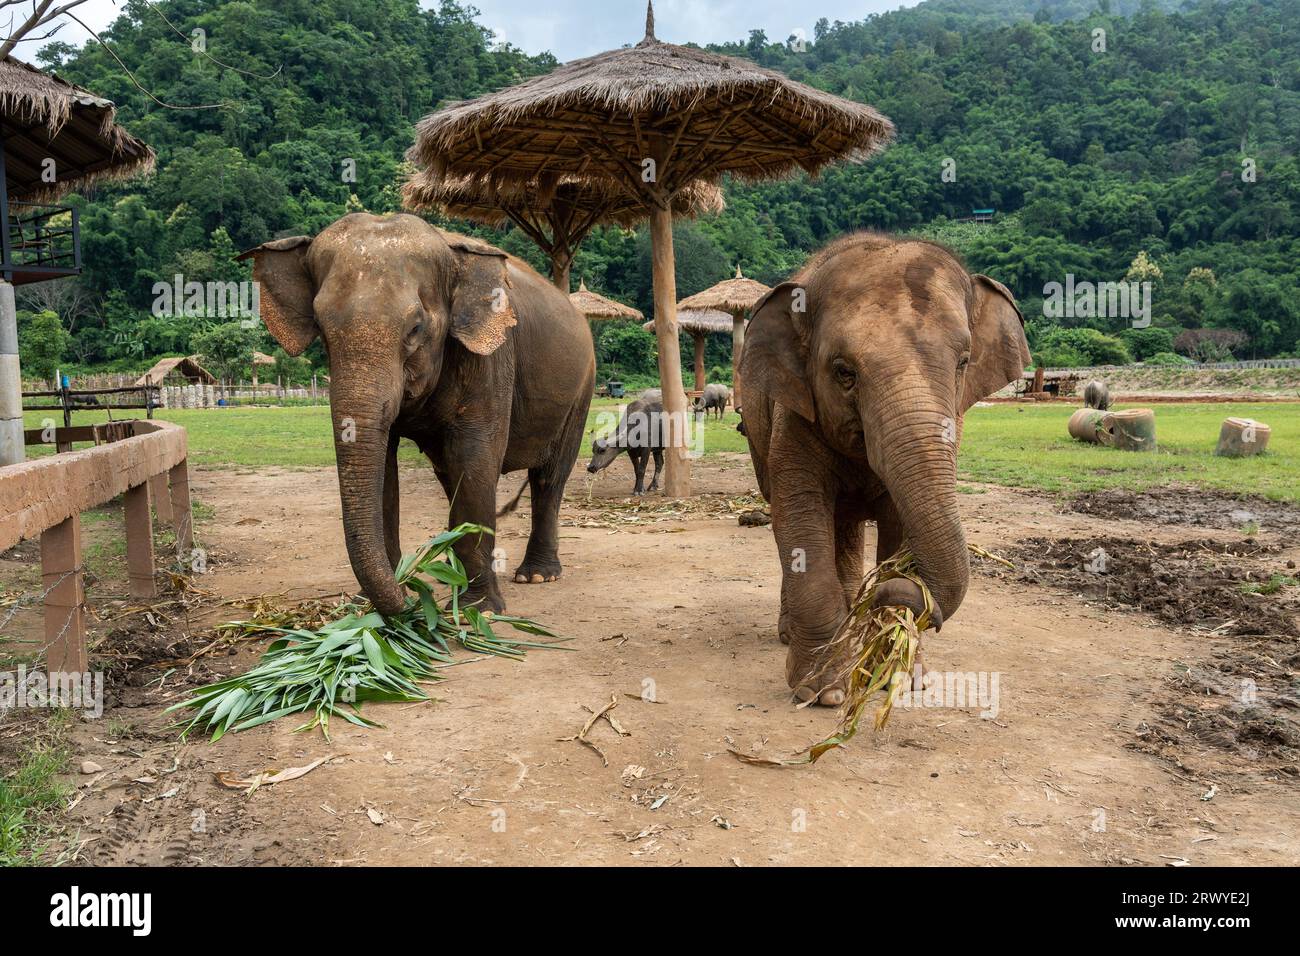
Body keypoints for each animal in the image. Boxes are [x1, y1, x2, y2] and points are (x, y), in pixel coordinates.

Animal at [237, 213, 595, 616]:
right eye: (322, 332)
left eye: (416, 328)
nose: (408, 600)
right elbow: (386, 469)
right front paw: (370, 606)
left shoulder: (490, 359)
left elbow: (475, 458)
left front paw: (478, 610)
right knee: (450, 474)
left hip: (583, 387)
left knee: (549, 476)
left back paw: (536, 576)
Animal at [738, 233, 1031, 705]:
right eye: (843, 372)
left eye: (963, 363)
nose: (878, 595)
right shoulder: (793, 416)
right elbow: (799, 516)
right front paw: (824, 691)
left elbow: (900, 523)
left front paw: (903, 676)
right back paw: (805, 631)